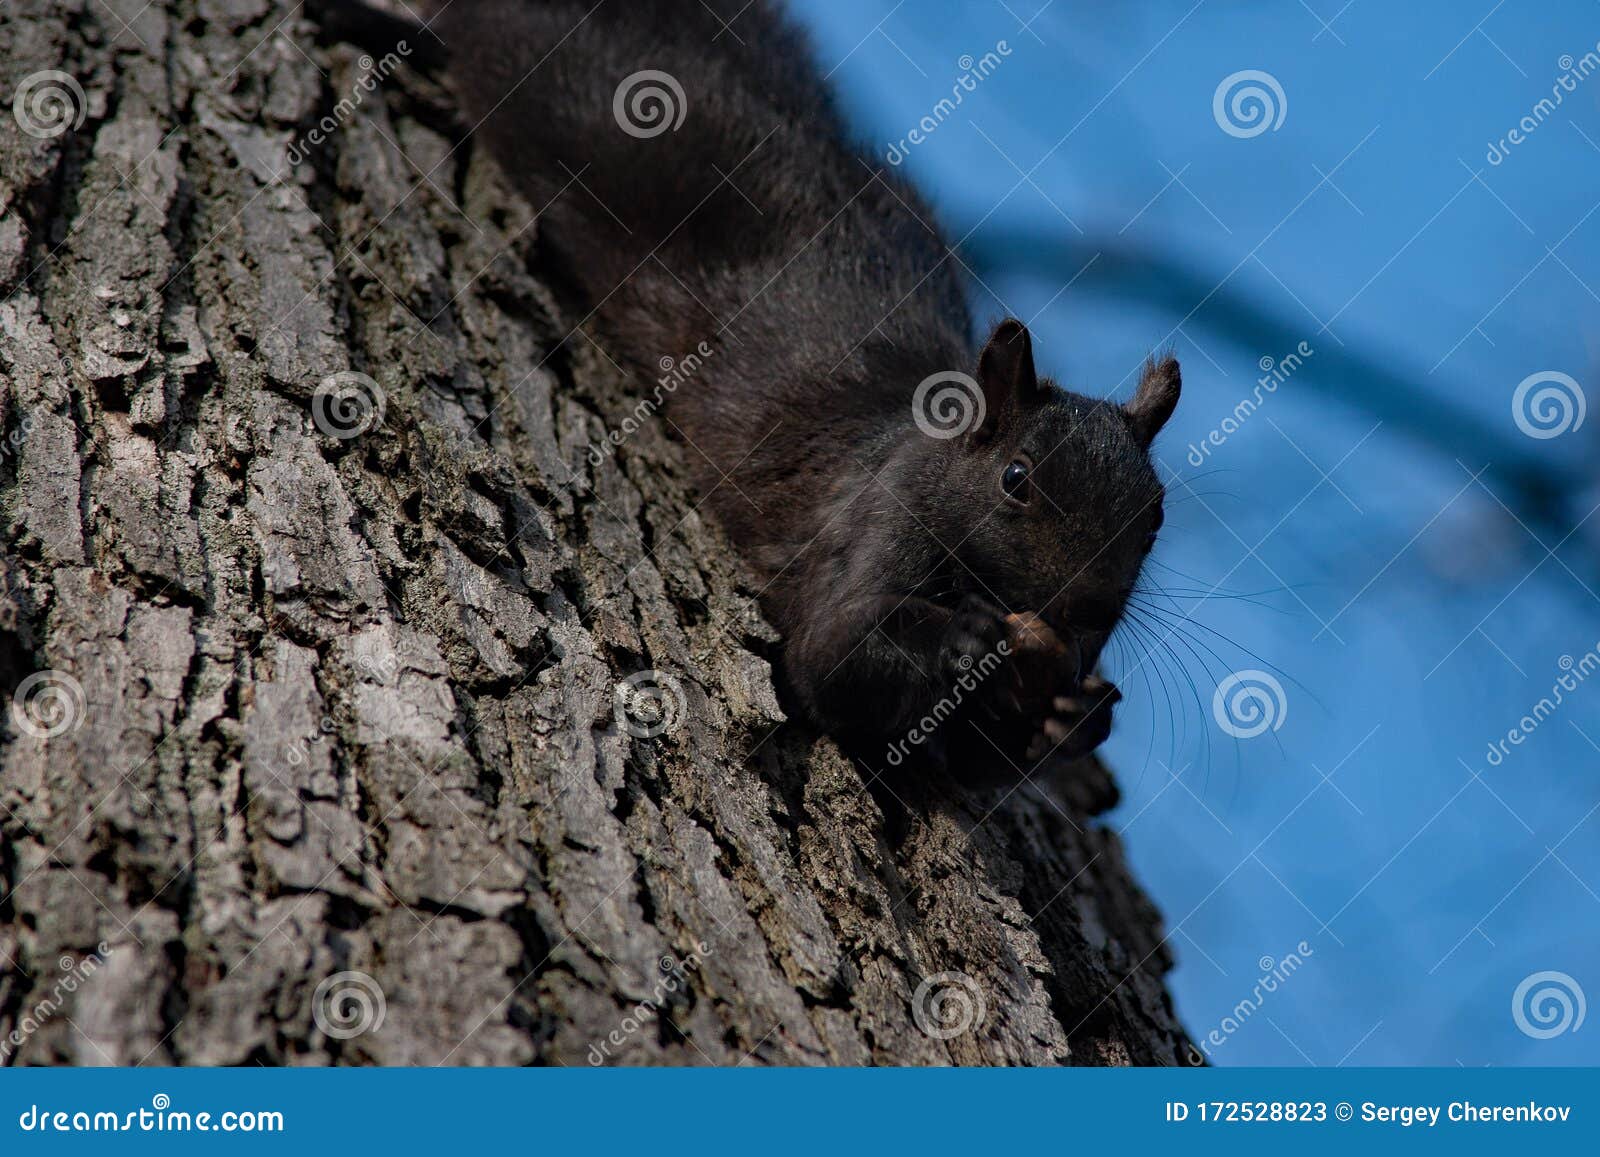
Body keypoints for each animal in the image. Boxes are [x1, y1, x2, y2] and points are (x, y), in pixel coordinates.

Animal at [312, 0, 1181, 782]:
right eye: (1015, 478)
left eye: (1156, 517)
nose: (1086, 609)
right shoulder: (870, 522)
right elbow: (832, 657)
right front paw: (965, 640)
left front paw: (1073, 717)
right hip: (557, 88)